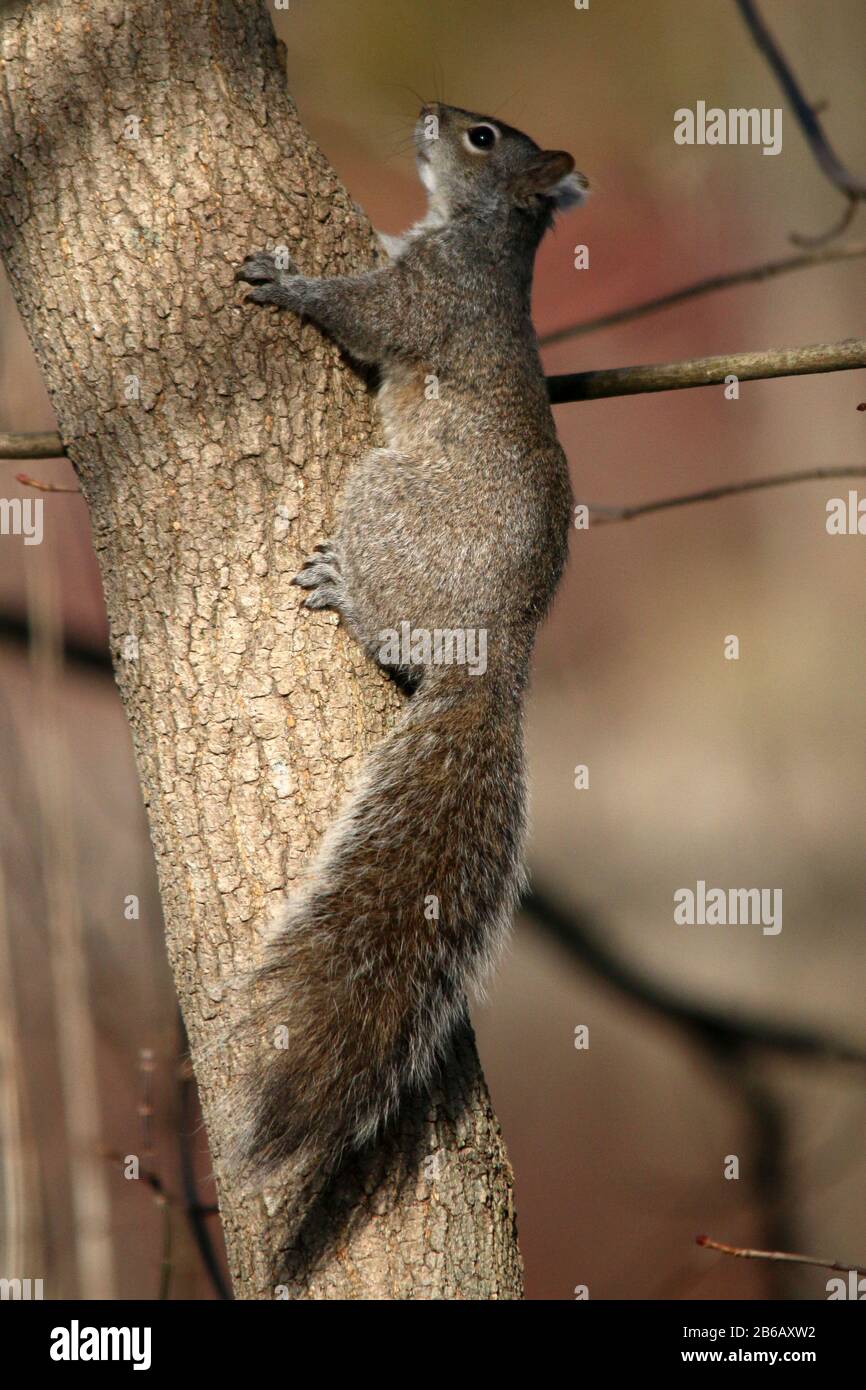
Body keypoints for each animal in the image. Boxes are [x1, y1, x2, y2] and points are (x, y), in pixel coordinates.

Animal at [233, 103, 587, 1179]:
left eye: (482, 138)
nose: (430, 114)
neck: (480, 236)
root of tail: (495, 654)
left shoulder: (426, 295)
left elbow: (367, 314)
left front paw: (288, 282)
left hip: (384, 498)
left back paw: (342, 589)